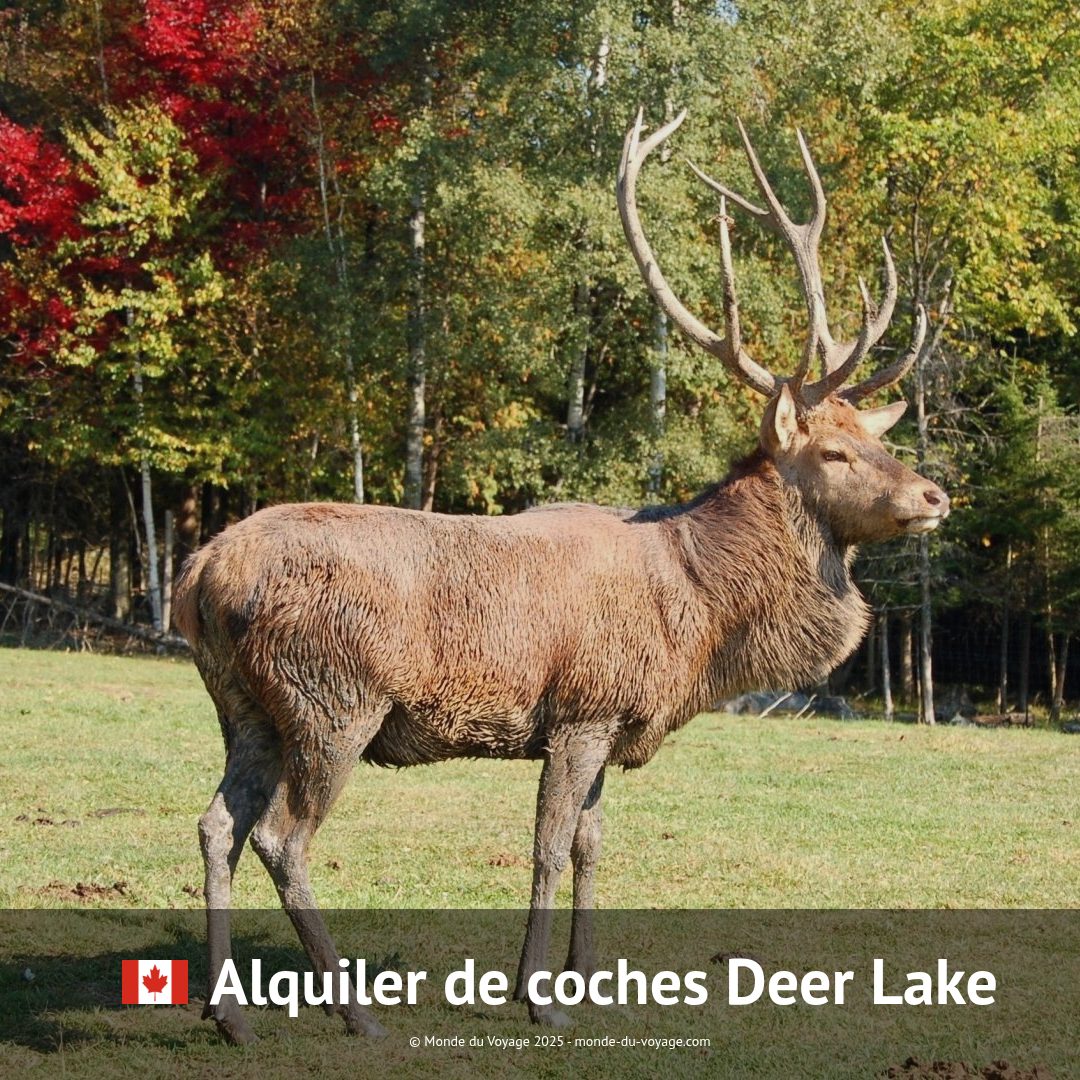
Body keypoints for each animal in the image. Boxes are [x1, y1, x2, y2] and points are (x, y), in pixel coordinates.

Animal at [174, 109, 949, 1043]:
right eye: (834, 452)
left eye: (875, 437)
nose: (934, 494)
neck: (696, 615)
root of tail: (198, 574)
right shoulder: (583, 709)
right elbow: (546, 845)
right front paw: (539, 995)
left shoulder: (615, 719)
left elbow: (590, 843)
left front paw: (585, 979)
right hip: (334, 698)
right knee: (281, 835)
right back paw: (355, 1010)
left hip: (245, 705)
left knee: (217, 822)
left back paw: (228, 1011)